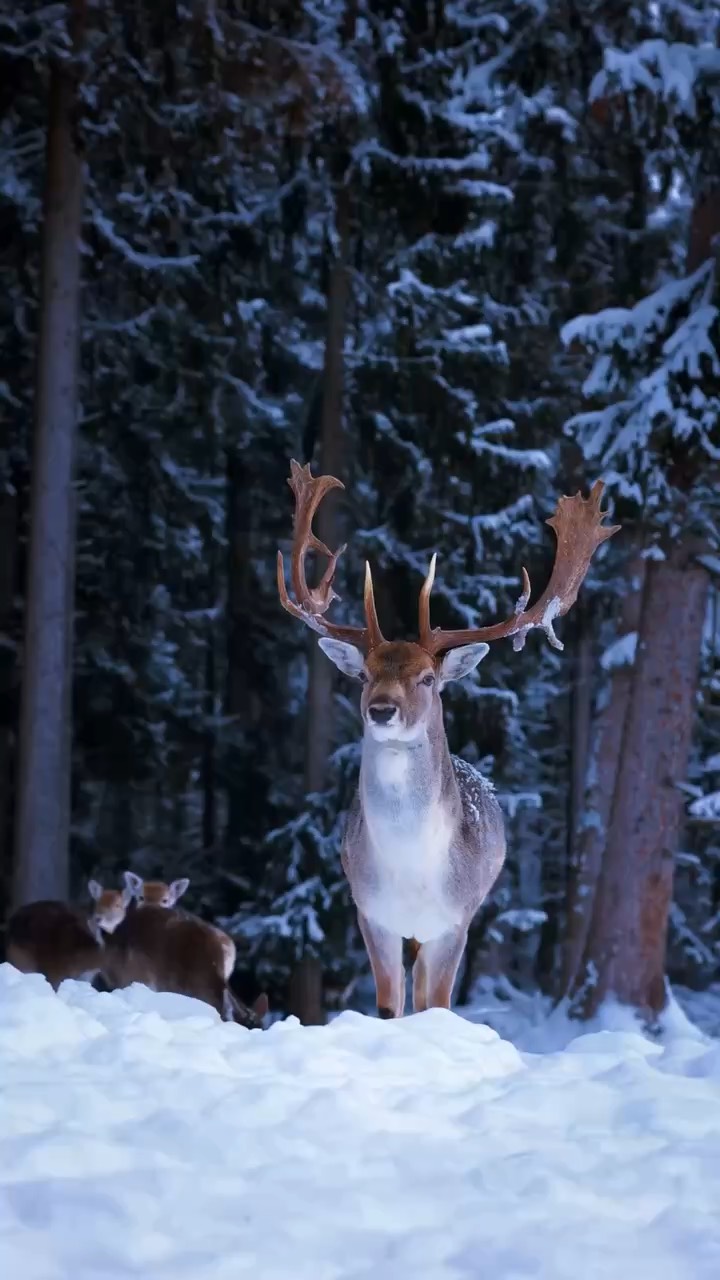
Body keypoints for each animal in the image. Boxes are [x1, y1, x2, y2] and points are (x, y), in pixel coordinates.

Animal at [274, 460, 617, 1018]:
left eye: (428, 679)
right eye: (363, 674)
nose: (381, 709)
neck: (411, 871)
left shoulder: (456, 918)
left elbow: (437, 1003)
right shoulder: (370, 911)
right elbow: (389, 1006)